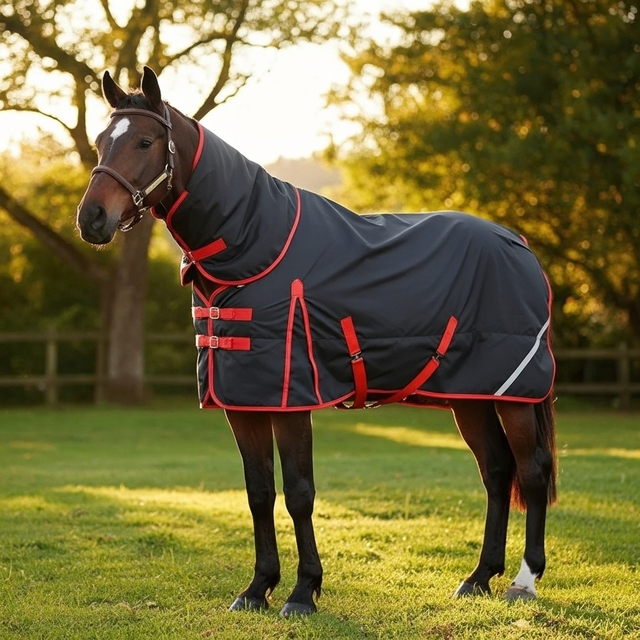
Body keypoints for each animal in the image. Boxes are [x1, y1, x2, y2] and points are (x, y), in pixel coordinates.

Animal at [76, 67, 557, 617]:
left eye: (144, 141)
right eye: (100, 142)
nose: (91, 218)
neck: (256, 245)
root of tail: (519, 245)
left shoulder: (292, 399)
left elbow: (299, 492)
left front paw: (303, 592)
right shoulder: (242, 400)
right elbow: (259, 492)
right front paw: (256, 588)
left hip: (514, 394)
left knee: (532, 471)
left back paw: (524, 580)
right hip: (470, 396)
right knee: (497, 472)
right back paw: (478, 578)